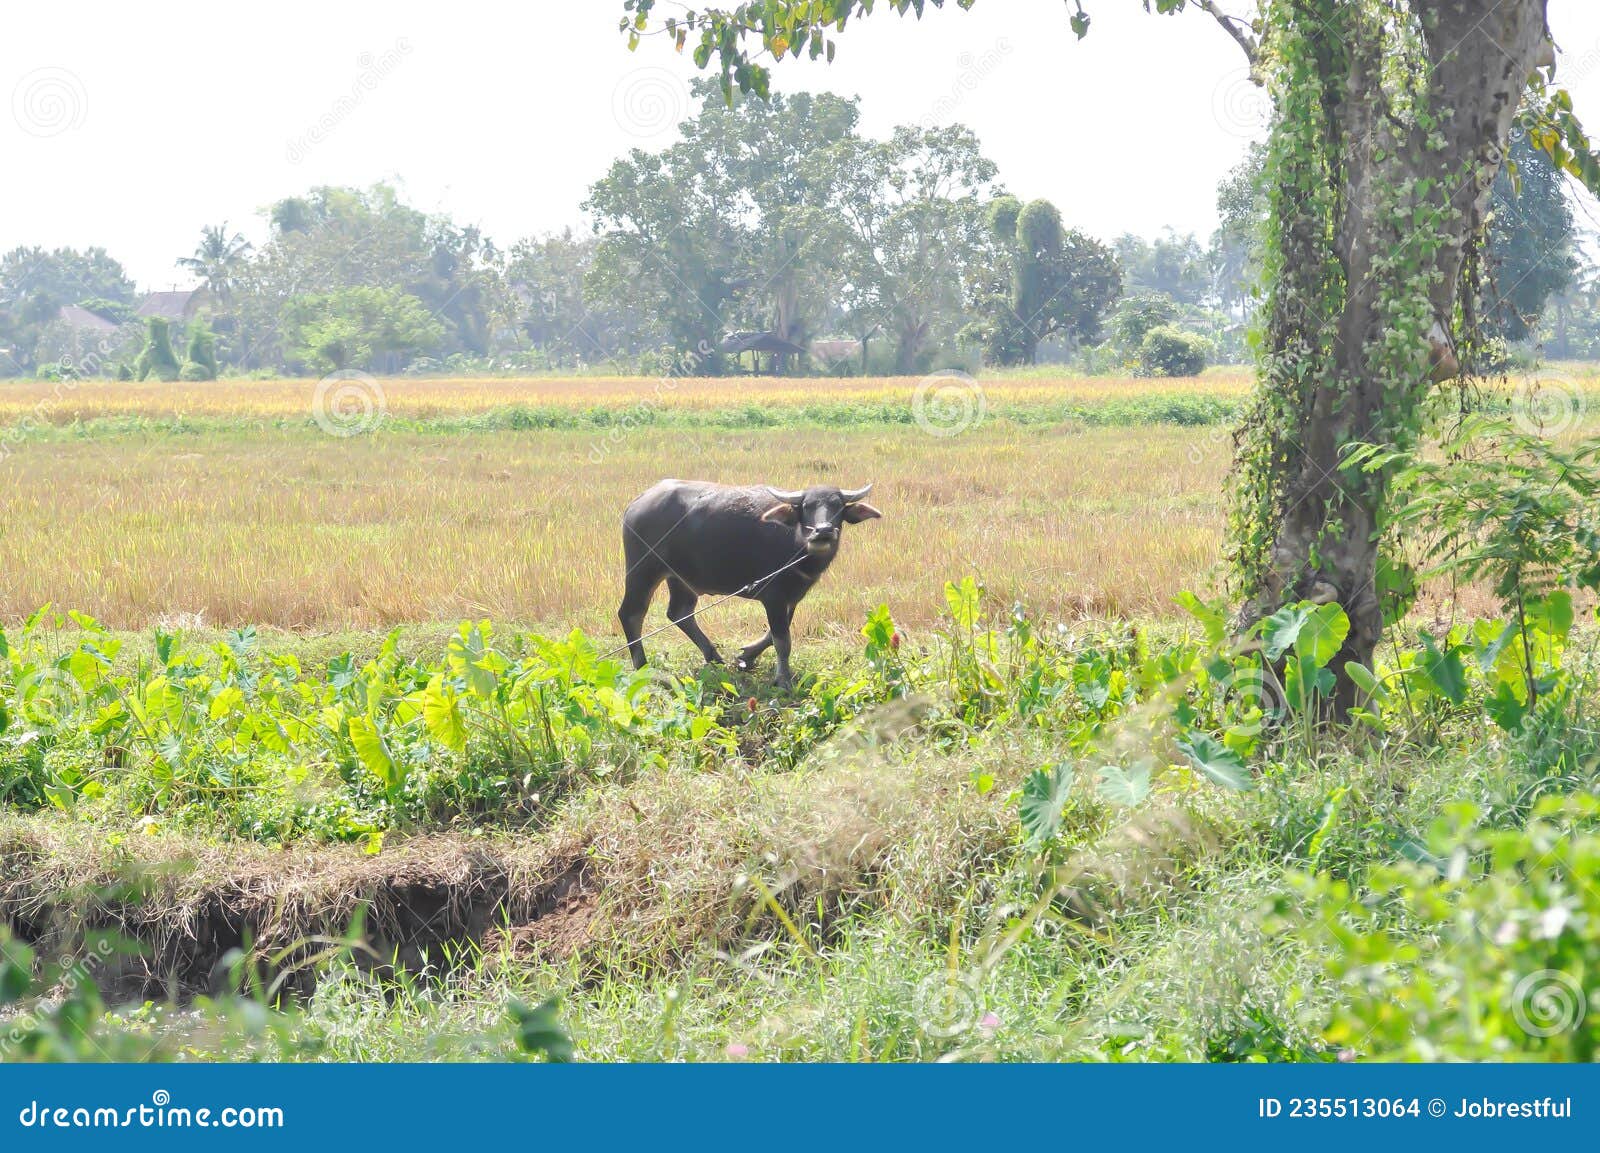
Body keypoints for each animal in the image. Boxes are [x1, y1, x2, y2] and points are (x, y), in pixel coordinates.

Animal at [618, 480, 883, 687]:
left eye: (837, 506)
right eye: (806, 506)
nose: (823, 531)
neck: (797, 546)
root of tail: (636, 504)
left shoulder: (792, 597)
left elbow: (776, 633)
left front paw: (747, 657)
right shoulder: (774, 596)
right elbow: (782, 640)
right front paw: (782, 679)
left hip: (680, 578)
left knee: (679, 612)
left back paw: (714, 657)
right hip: (642, 571)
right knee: (631, 614)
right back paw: (642, 666)